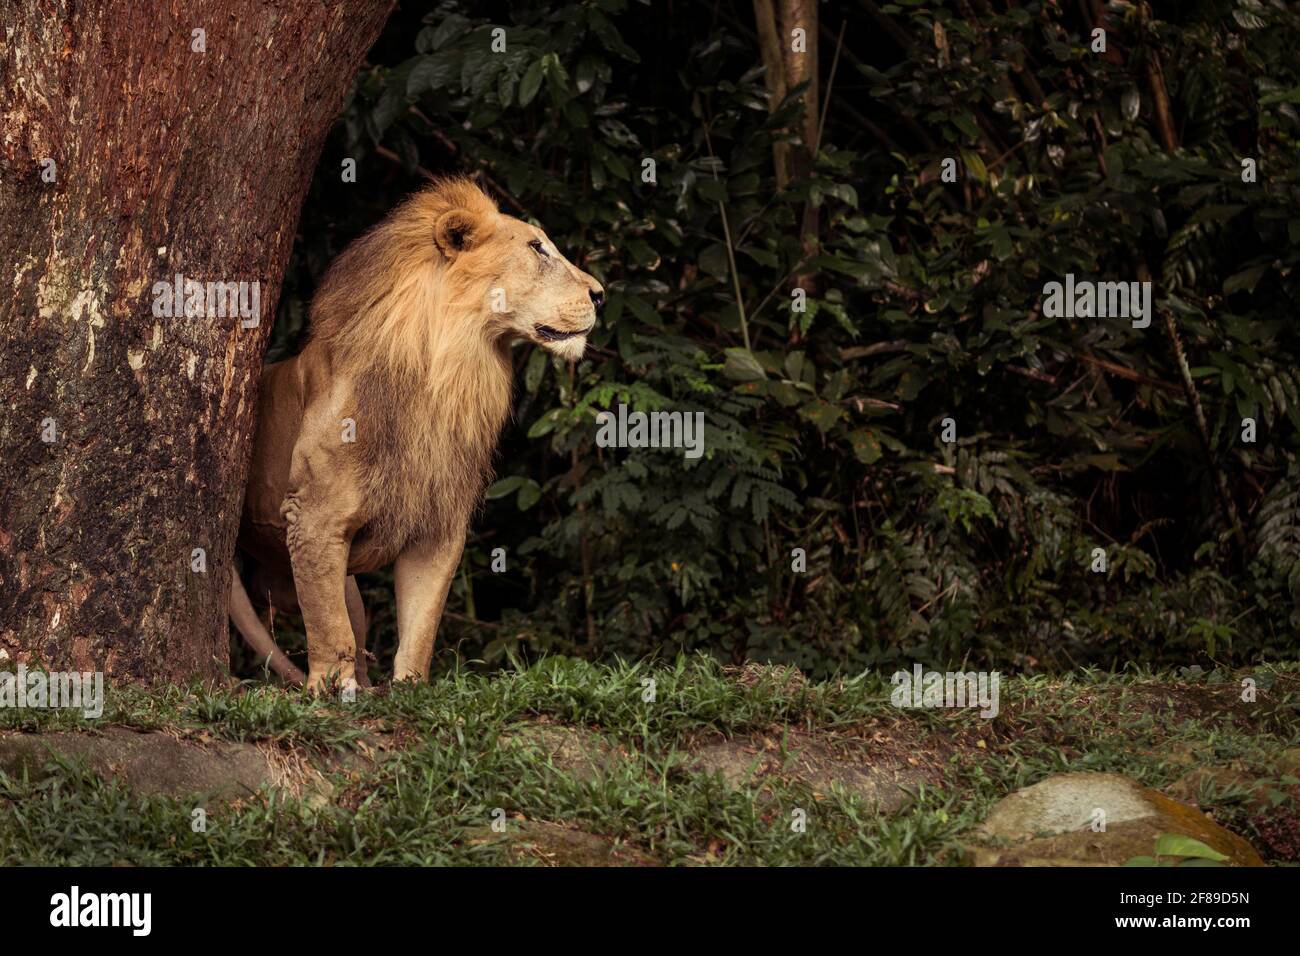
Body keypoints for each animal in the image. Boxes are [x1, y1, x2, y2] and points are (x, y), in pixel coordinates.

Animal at [230, 178, 604, 690]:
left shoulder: (438, 526)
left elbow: (421, 626)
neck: (450, 370)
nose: (601, 294)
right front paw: (328, 690)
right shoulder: (313, 518)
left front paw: (410, 689)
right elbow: (327, 627)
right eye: (536, 248)